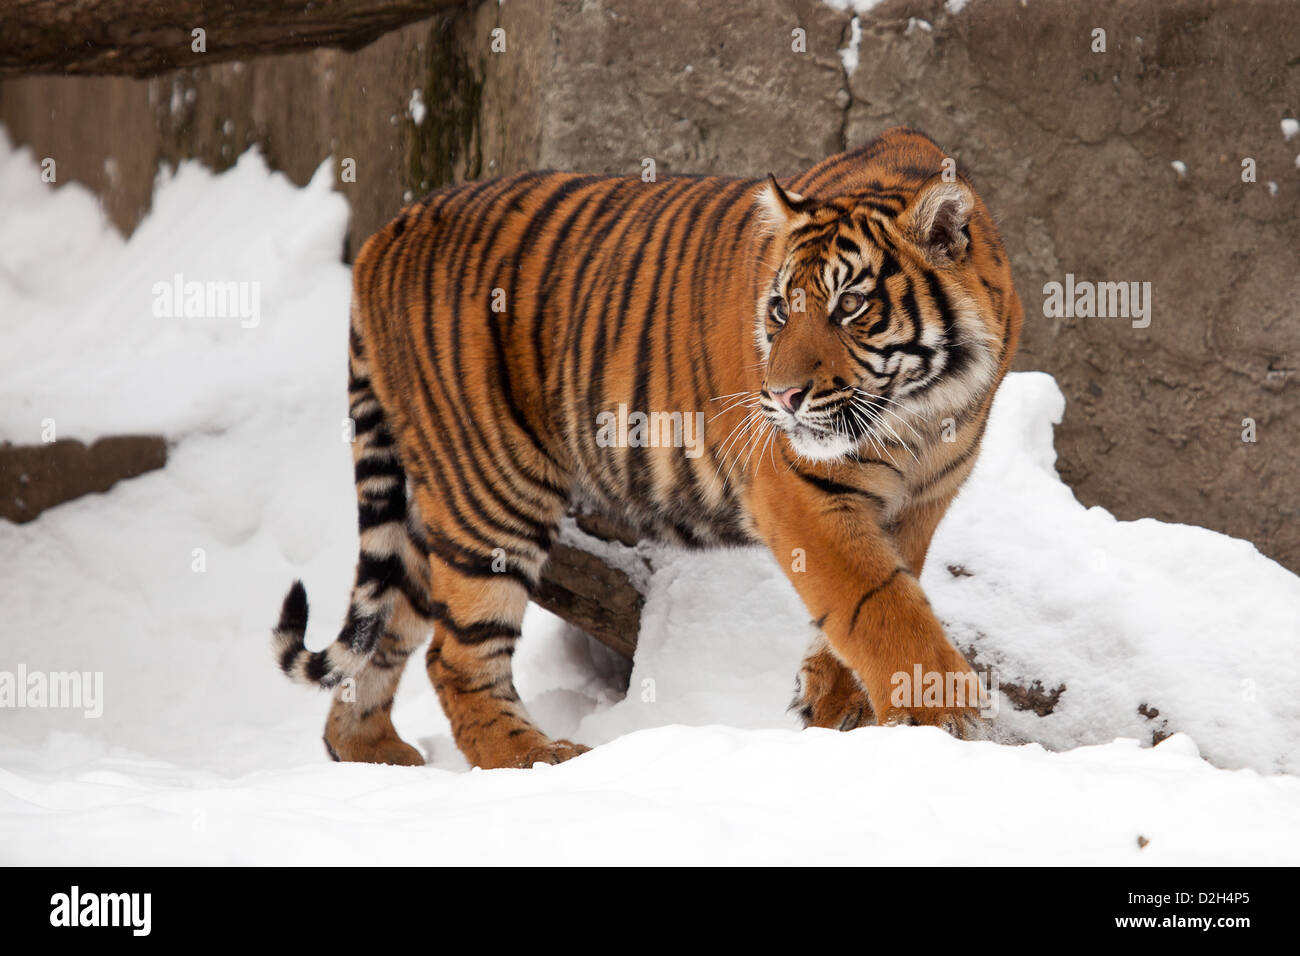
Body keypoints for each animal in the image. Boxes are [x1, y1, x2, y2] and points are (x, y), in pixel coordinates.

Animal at [270, 126, 1022, 769]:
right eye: (781, 310)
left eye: (850, 307)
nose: (781, 398)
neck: (923, 411)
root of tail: (384, 233)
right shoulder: (800, 491)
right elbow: (880, 605)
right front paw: (947, 721)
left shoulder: (920, 501)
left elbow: (878, 598)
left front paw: (837, 705)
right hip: (493, 487)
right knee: (454, 658)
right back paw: (535, 758)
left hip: (432, 499)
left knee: (386, 633)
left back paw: (375, 756)